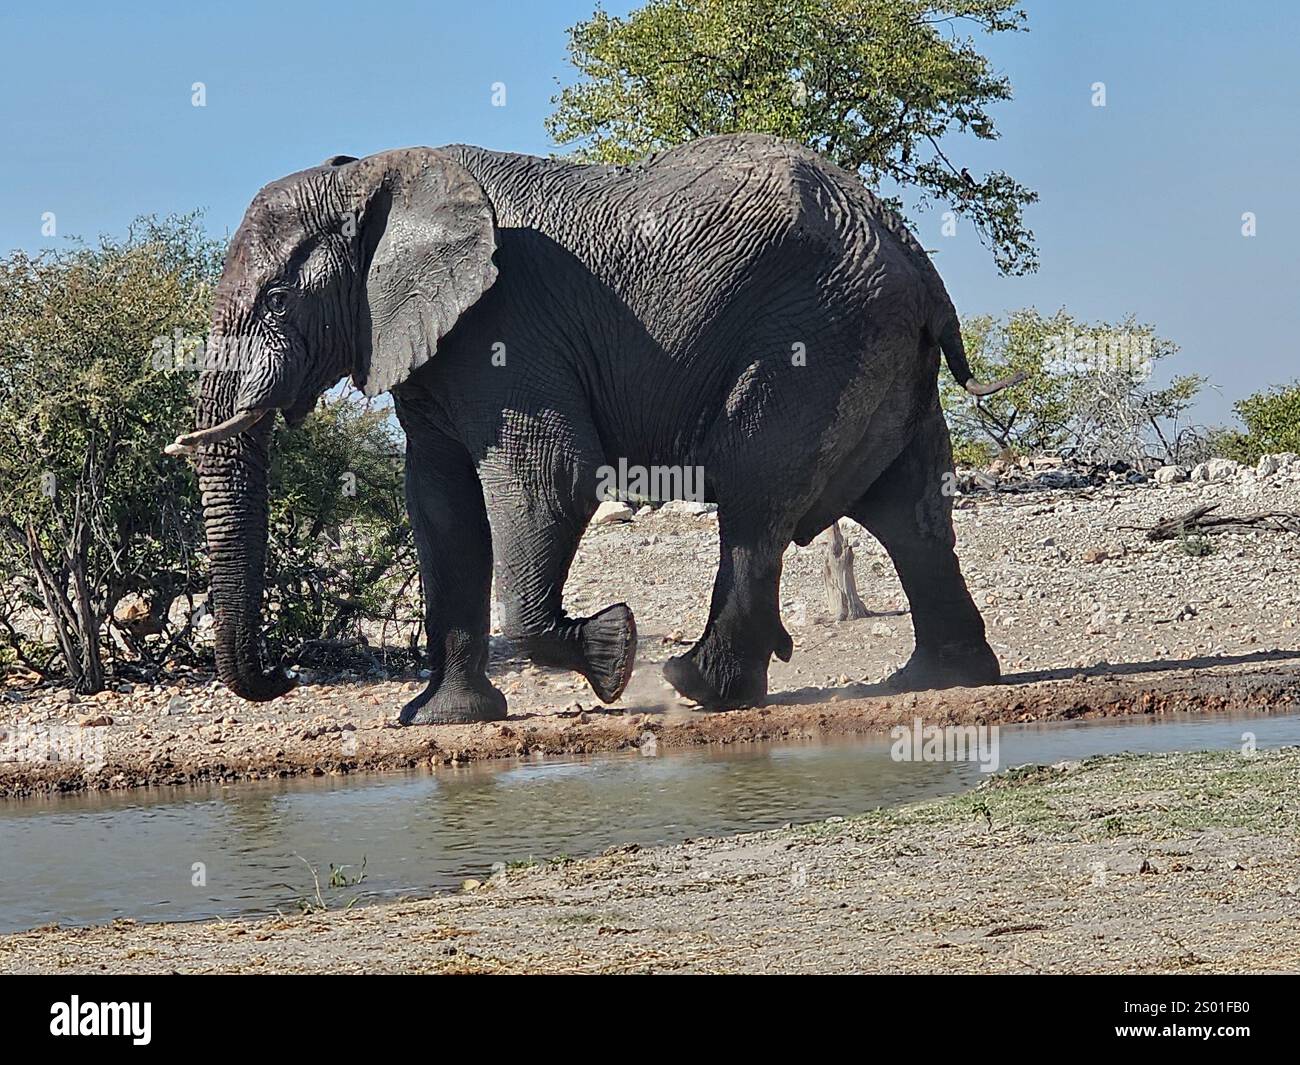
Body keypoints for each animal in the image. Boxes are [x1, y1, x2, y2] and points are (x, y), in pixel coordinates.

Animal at [168, 133, 1016, 725]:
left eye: (278, 299)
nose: (282, 675)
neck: (380, 173)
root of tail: (912, 252)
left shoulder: (505, 326)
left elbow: (548, 480)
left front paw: (612, 656)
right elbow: (440, 509)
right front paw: (441, 718)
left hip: (815, 338)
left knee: (754, 499)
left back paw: (695, 686)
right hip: (877, 345)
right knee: (908, 510)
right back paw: (940, 678)